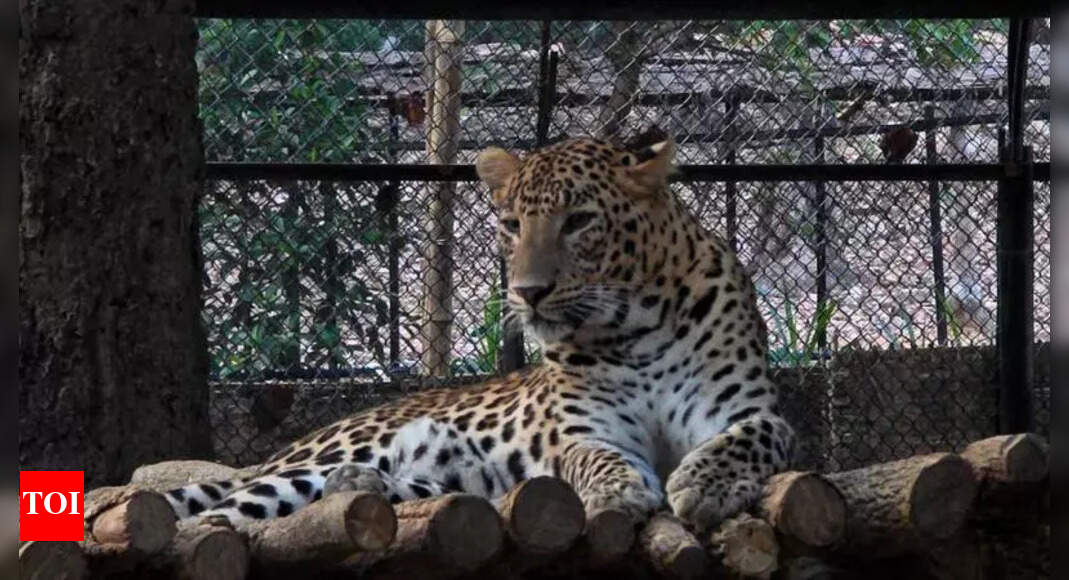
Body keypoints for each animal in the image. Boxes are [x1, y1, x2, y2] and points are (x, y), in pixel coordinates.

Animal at [163, 134, 794, 534]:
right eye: (512, 224)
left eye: (579, 221)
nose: (528, 292)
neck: (634, 326)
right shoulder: (590, 431)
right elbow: (594, 458)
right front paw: (618, 491)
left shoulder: (746, 411)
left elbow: (755, 437)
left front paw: (706, 486)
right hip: (305, 468)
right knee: (212, 519)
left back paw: (361, 484)